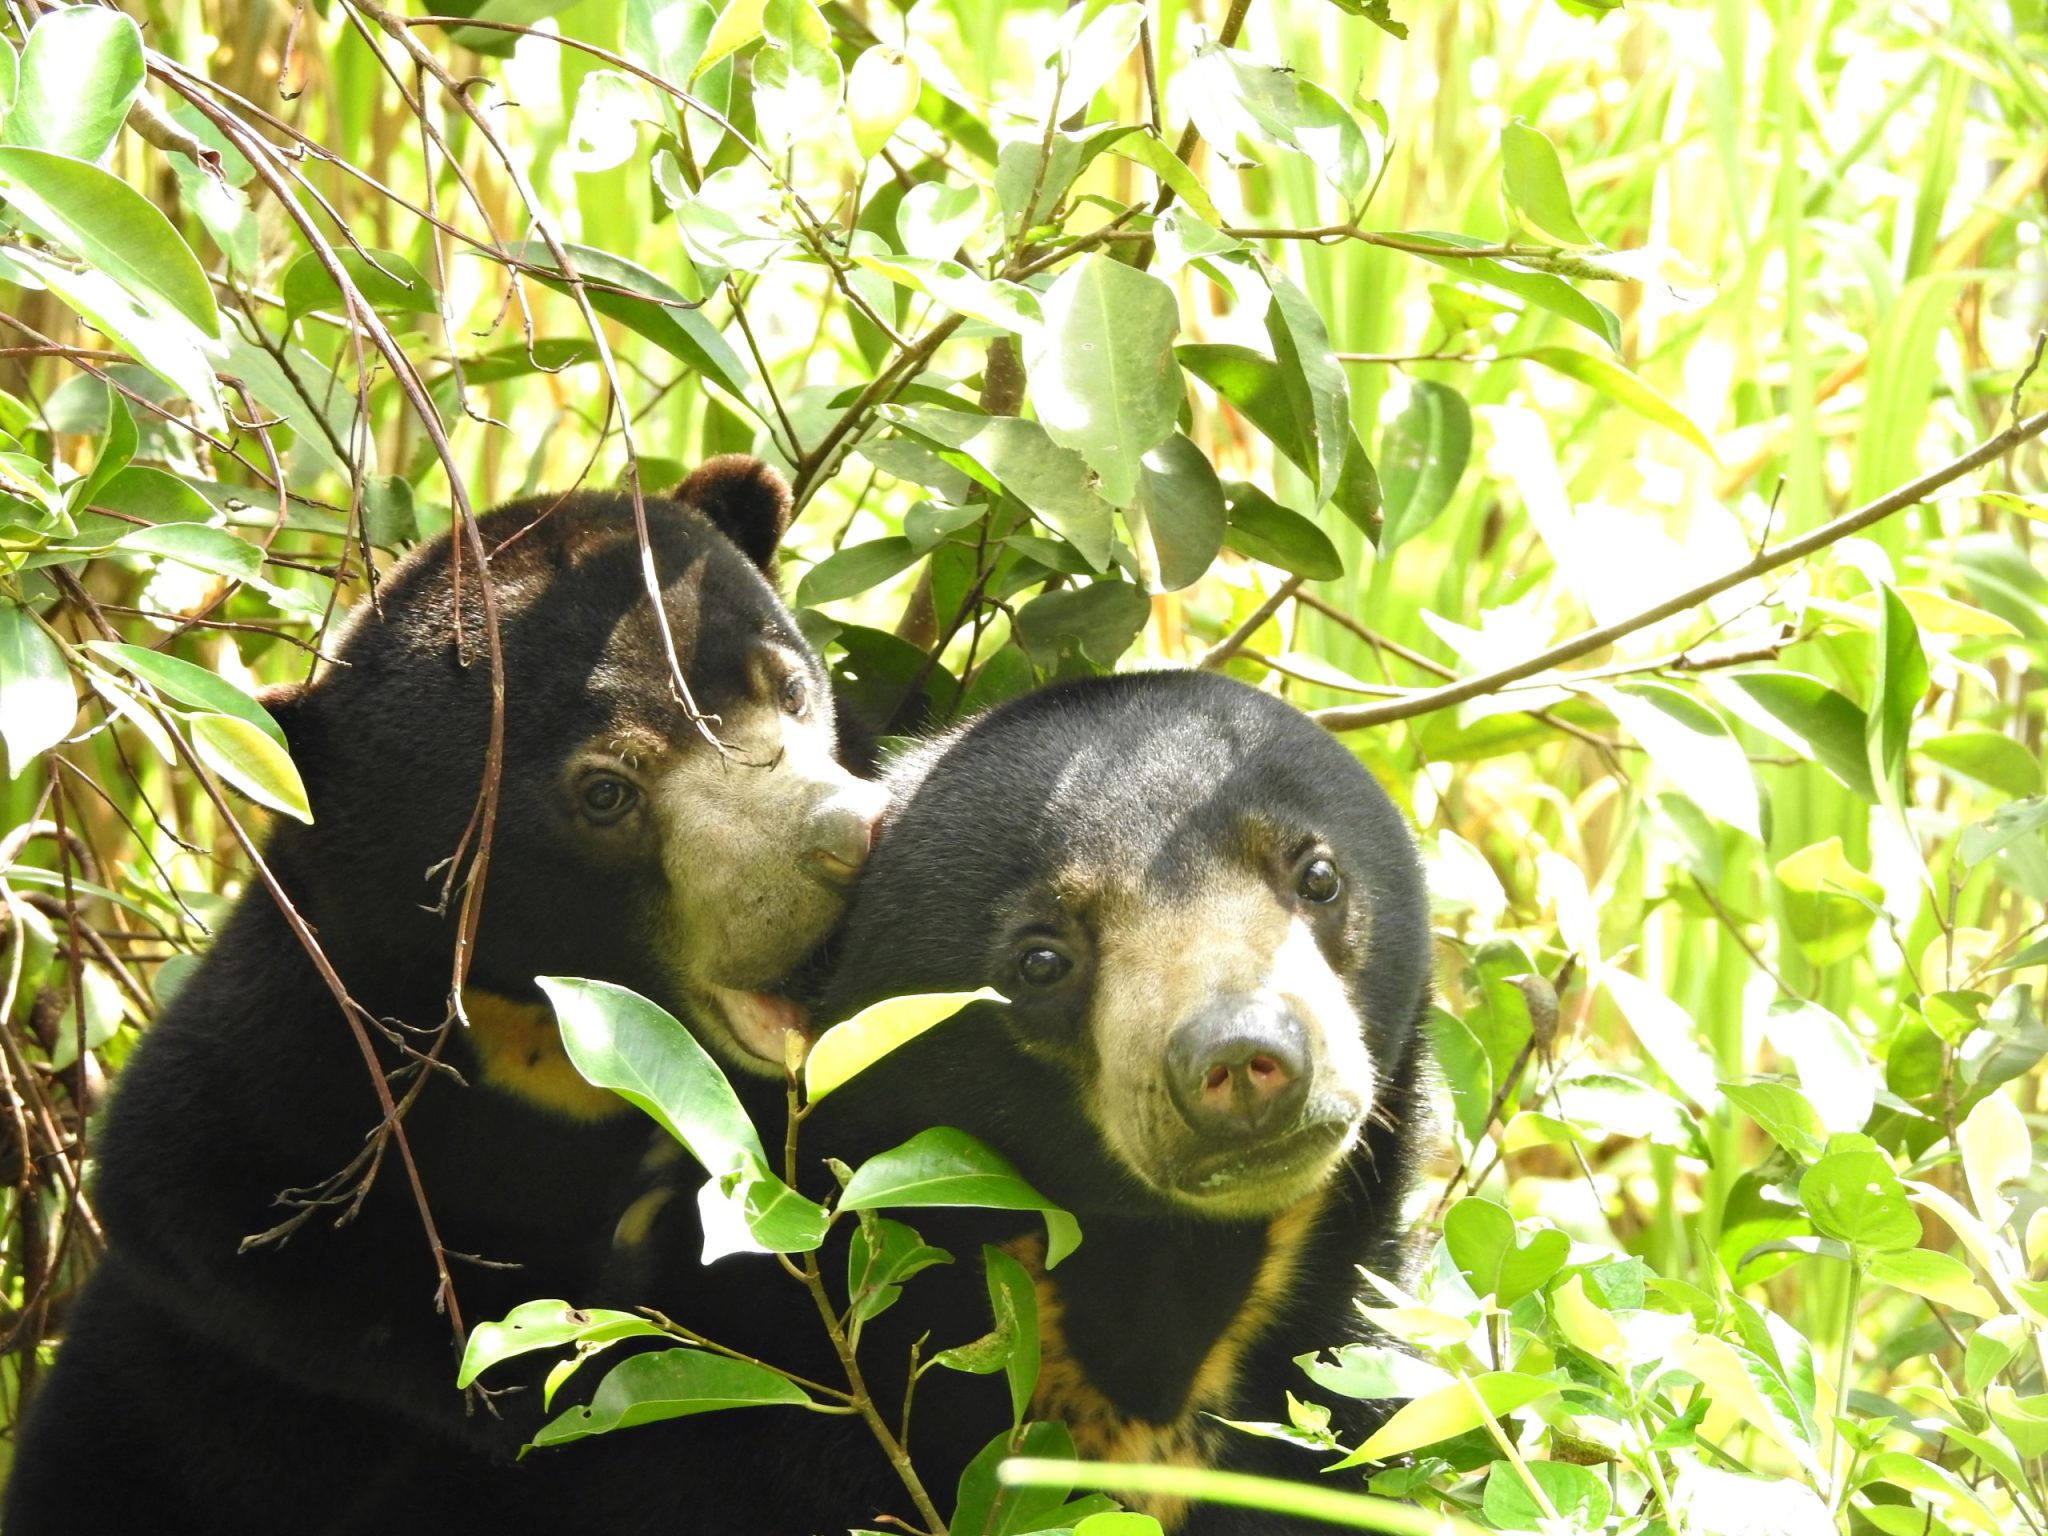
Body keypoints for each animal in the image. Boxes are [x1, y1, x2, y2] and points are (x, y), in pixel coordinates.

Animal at [2, 457, 888, 1535]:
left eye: (789, 689)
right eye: (605, 792)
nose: (846, 843)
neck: (543, 1025)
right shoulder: (309, 1025)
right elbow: (197, 1196)